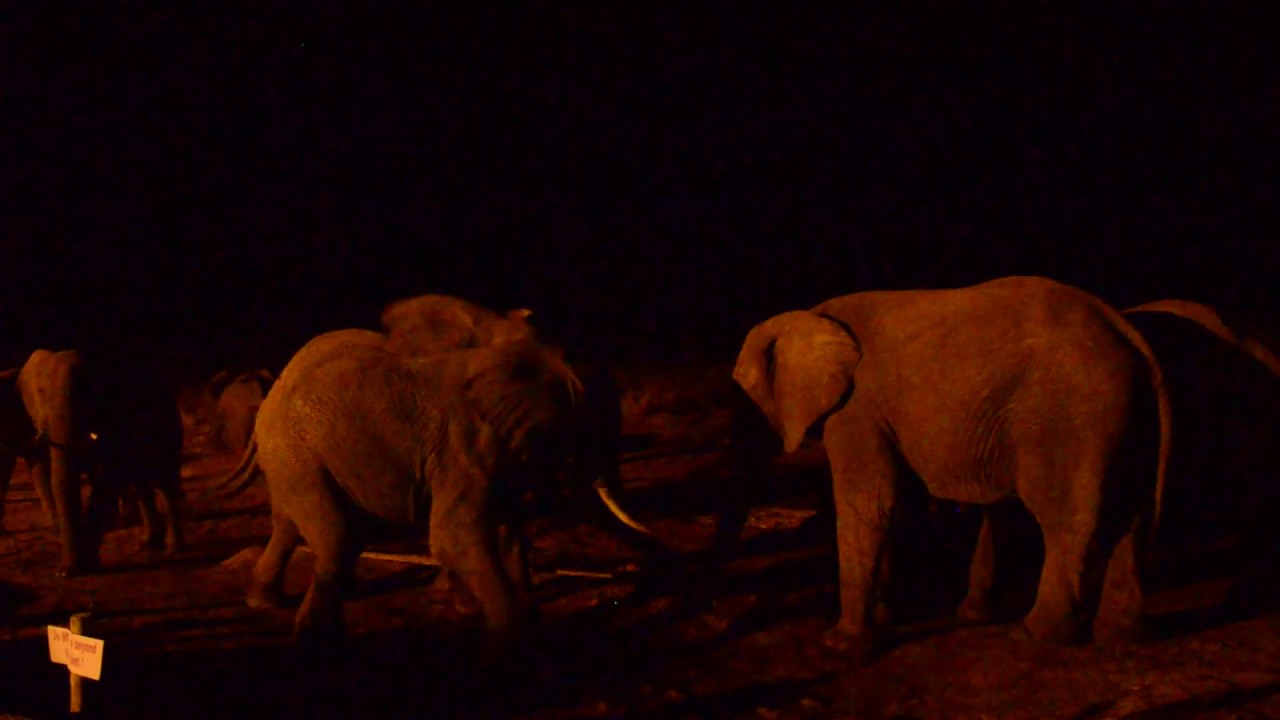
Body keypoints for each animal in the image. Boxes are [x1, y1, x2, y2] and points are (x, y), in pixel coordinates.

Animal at [215, 338, 586, 653]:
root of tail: (269, 399)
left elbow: (508, 527)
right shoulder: (463, 449)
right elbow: (454, 534)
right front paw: (511, 643)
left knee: (291, 527)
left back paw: (268, 603)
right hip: (299, 456)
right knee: (338, 537)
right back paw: (316, 642)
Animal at [732, 275, 1171, 662]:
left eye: (746, 398)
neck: (810, 315)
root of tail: (1130, 335)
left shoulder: (857, 406)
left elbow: (871, 503)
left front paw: (841, 648)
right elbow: (896, 504)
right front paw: (887, 619)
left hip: (1071, 413)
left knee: (1068, 520)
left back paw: (1033, 634)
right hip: (1123, 414)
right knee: (1134, 515)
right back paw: (1121, 636)